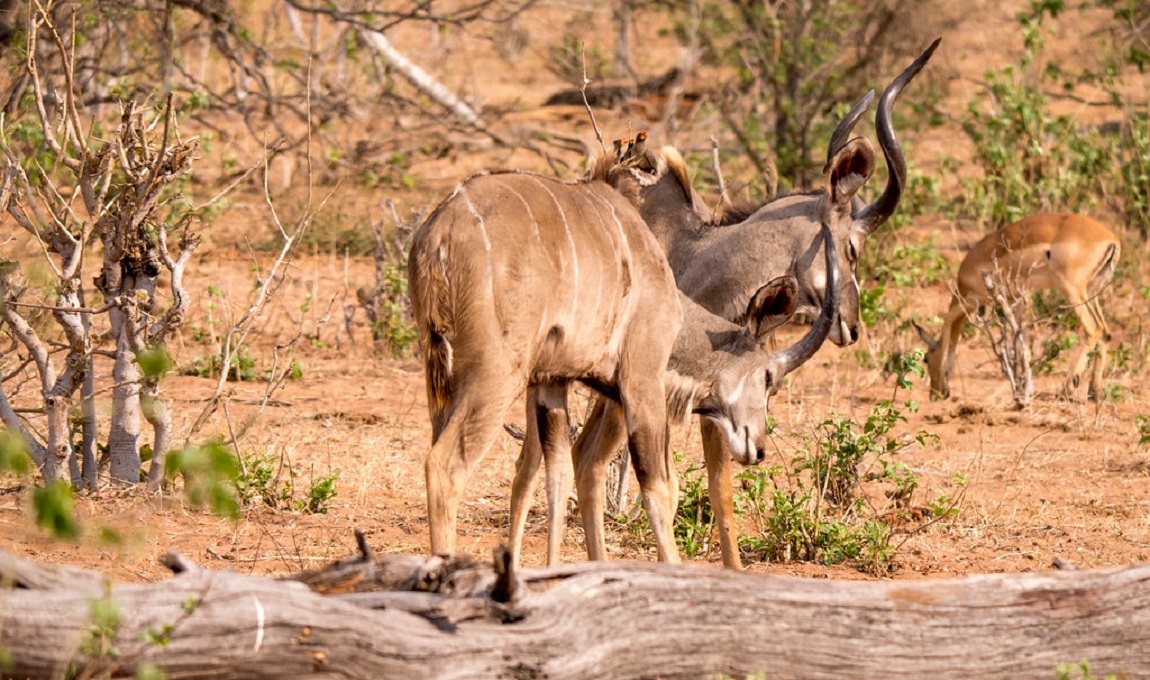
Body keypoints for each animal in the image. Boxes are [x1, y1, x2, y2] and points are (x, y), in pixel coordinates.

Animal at [408, 166, 833, 563]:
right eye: (768, 377)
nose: (757, 450)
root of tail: (440, 230)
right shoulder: (642, 381)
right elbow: (660, 486)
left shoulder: (551, 382)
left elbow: (558, 474)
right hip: (494, 377)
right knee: (443, 466)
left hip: (440, 375)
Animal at [513, 40, 939, 570]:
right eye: (854, 249)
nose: (853, 327)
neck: (695, 252)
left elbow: (713, 488)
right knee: (568, 459)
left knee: (551, 460)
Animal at [914, 213, 1120, 401]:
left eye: (926, 358)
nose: (934, 394)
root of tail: (1111, 238)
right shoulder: (1015, 298)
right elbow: (1020, 338)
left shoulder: (974, 301)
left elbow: (948, 321)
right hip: (1091, 291)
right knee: (1106, 332)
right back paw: (1094, 393)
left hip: (1072, 290)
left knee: (1094, 329)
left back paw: (1066, 390)